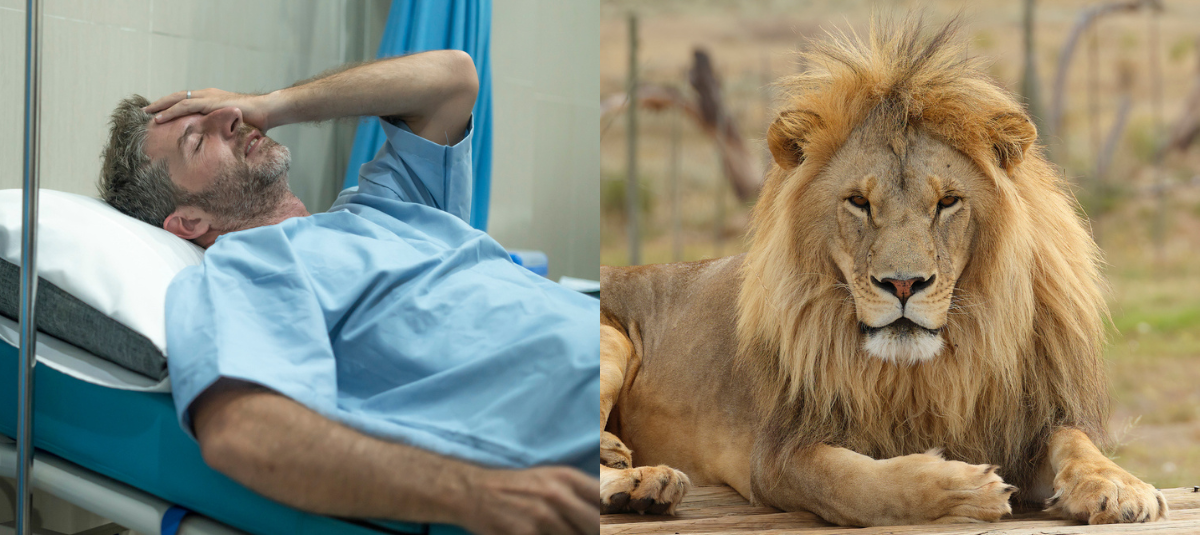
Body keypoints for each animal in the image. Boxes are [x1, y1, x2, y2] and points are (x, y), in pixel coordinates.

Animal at [598, 19, 1169, 526]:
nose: (902, 284)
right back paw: (640, 481)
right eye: (858, 202)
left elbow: (1075, 440)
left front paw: (1119, 485)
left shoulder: (1028, 419)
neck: (927, 373)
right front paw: (967, 489)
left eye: (947, 202)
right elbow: (859, 484)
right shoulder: (779, 455)